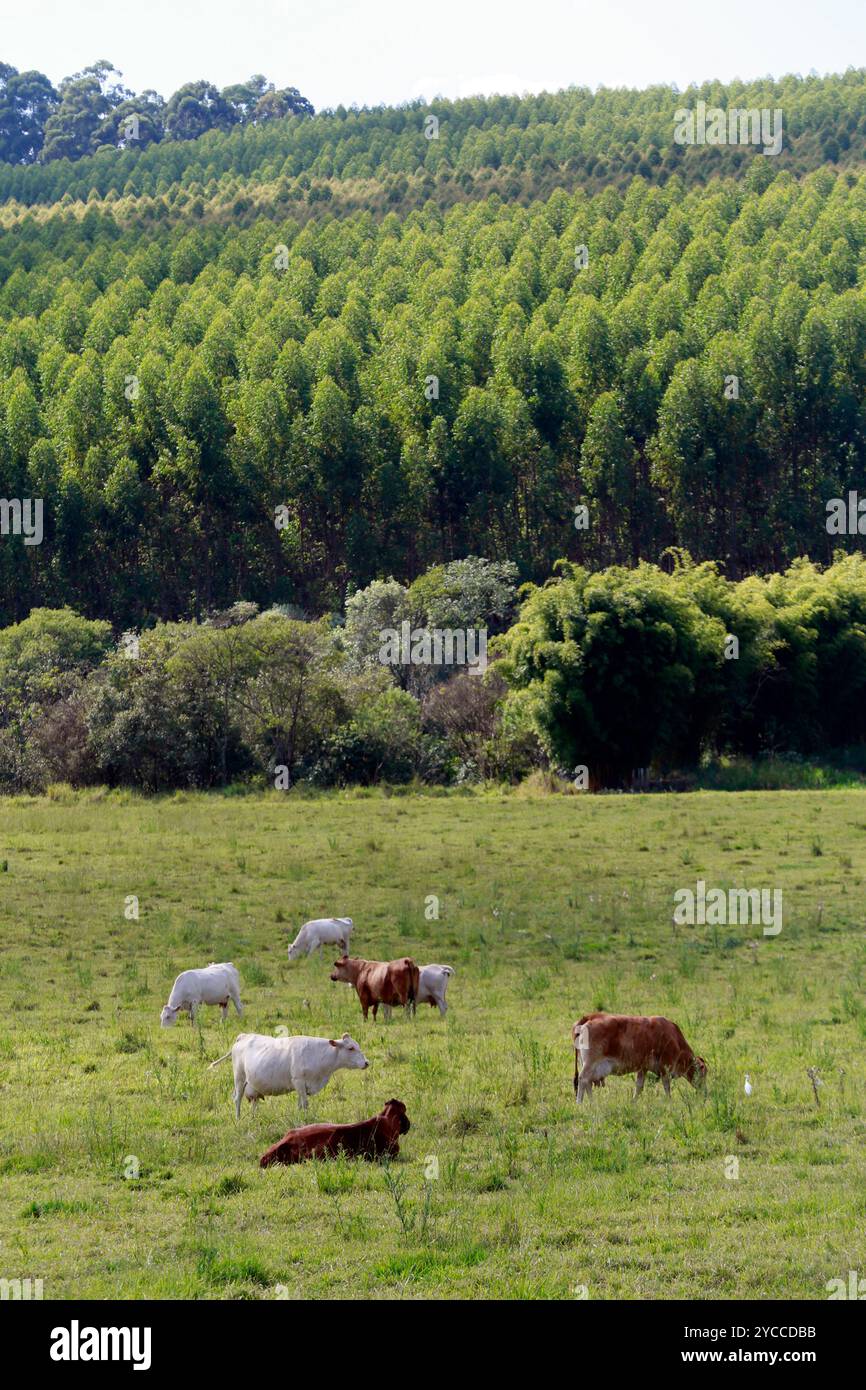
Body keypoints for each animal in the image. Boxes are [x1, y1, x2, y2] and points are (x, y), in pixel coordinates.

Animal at [208, 1032, 369, 1117]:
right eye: (351, 1048)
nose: (366, 1063)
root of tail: (244, 1036)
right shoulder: (298, 1081)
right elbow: (305, 1104)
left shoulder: (301, 1086)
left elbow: (300, 1104)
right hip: (239, 1078)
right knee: (237, 1099)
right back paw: (238, 1119)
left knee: (254, 1101)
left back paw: (254, 1118)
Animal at [573, 1012, 707, 1103]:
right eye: (703, 1073)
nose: (705, 1093)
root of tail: (591, 1016)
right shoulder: (665, 1067)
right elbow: (667, 1086)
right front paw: (669, 1101)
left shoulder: (643, 1068)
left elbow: (639, 1087)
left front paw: (633, 1102)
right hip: (590, 1063)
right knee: (583, 1079)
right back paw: (580, 1103)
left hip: (587, 1064)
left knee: (588, 1083)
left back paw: (591, 1103)